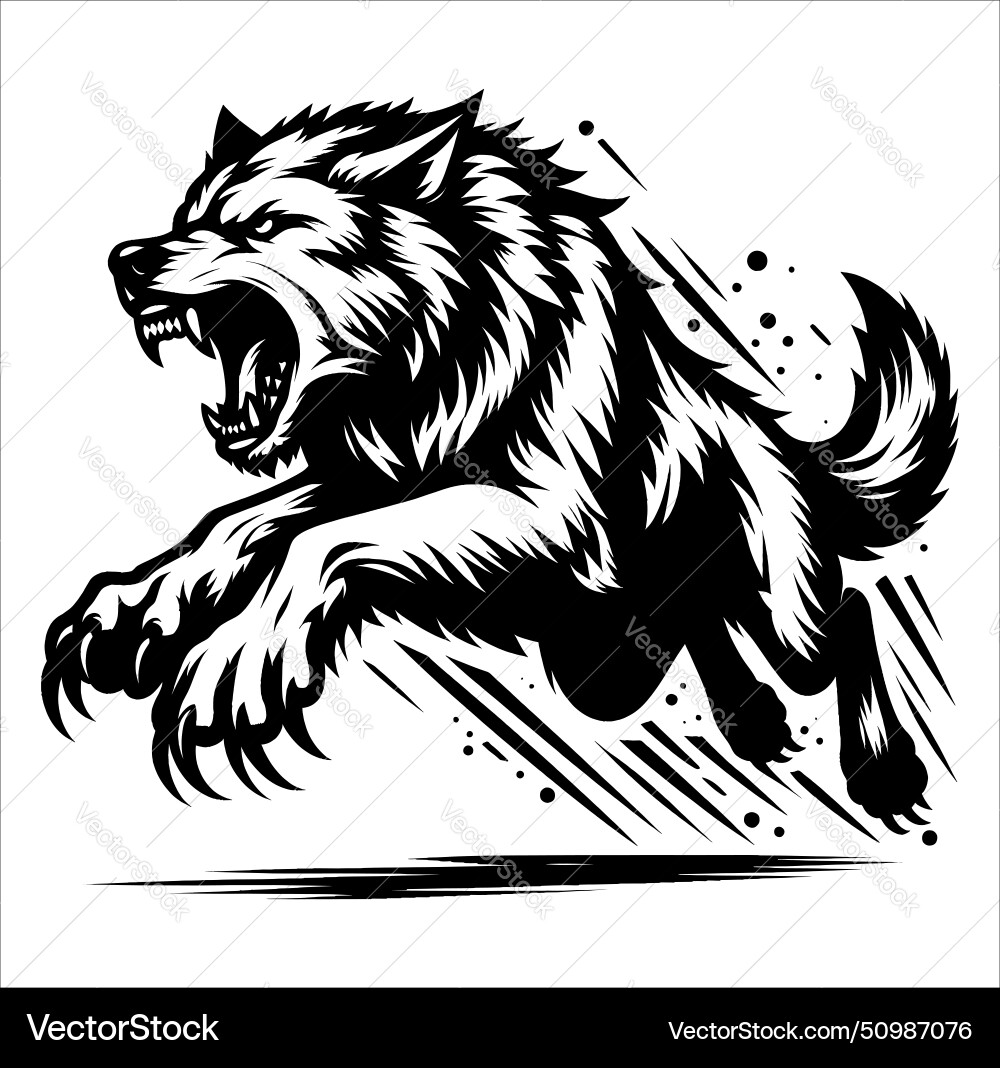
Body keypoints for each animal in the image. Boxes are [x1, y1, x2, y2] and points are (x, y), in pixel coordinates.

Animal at [42, 95, 956, 830]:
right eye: (184, 216)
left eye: (262, 224)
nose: (125, 260)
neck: (441, 352)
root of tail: (785, 445)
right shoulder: (372, 476)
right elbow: (233, 524)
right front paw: (134, 609)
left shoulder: (541, 511)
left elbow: (316, 544)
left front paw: (236, 661)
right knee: (714, 631)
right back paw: (753, 723)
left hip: (785, 614)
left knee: (852, 617)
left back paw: (881, 771)